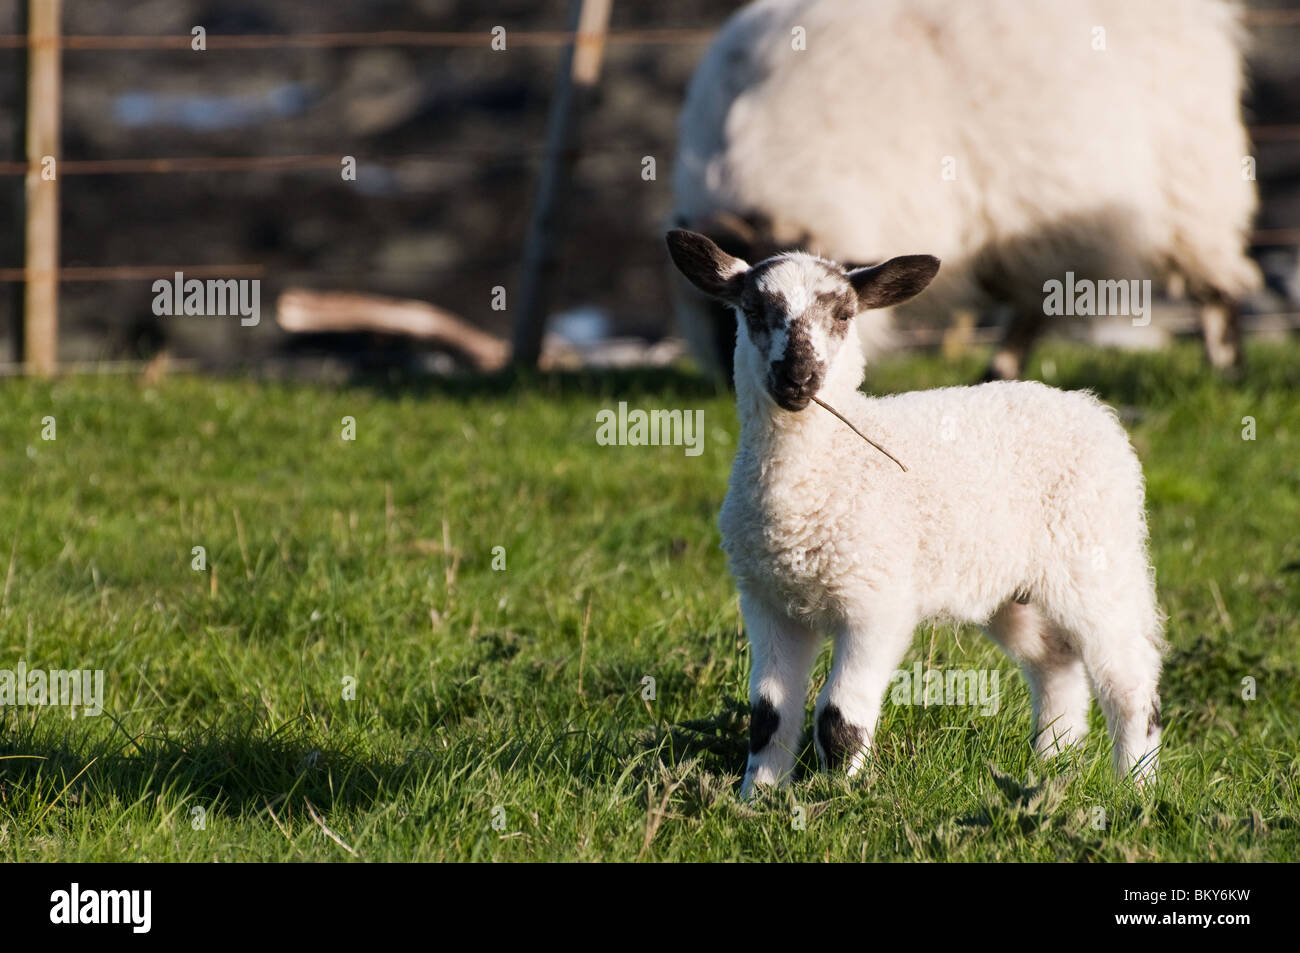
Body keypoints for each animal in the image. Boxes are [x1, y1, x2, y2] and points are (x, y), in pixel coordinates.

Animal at [665, 228, 1165, 795]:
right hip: (1011, 587)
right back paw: (1051, 762)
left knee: (1130, 675)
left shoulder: (877, 601)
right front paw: (756, 798)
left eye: (844, 315)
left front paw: (836, 799)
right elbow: (768, 716)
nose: (798, 378)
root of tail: (1090, 407)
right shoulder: (768, 602)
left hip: (1096, 554)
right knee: (1055, 662)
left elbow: (838, 718)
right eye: (752, 310)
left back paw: (1136, 785)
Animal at [671, 0, 1259, 383]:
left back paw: (1226, 368)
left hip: (1188, 183)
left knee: (1215, 282)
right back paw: (1000, 371)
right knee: (1035, 300)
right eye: (726, 304)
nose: (734, 381)